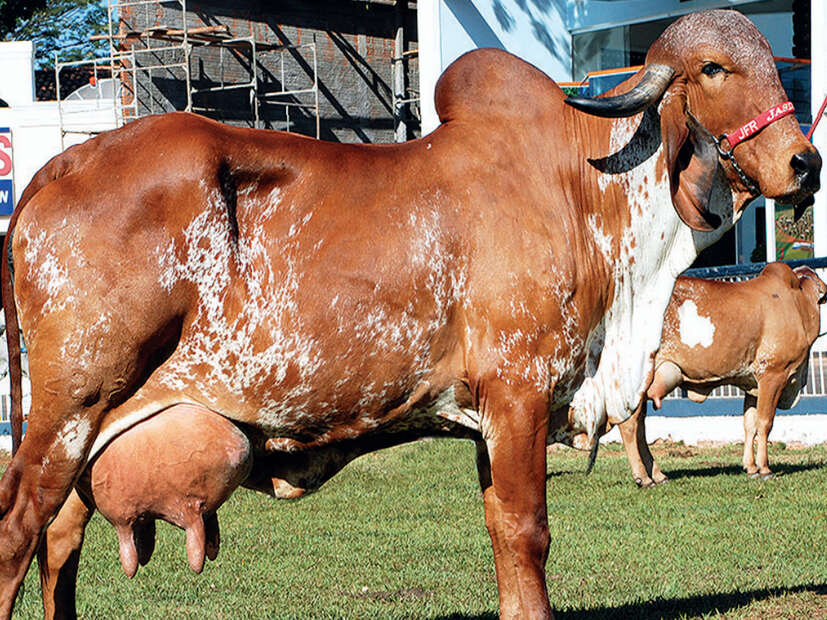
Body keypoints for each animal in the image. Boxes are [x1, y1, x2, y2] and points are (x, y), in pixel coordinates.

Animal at [595, 263, 827, 487]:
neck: (799, 303)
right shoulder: (772, 374)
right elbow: (764, 423)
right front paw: (764, 468)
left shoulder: (752, 383)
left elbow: (749, 424)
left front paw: (750, 467)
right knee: (630, 426)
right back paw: (643, 478)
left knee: (640, 428)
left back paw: (658, 476)